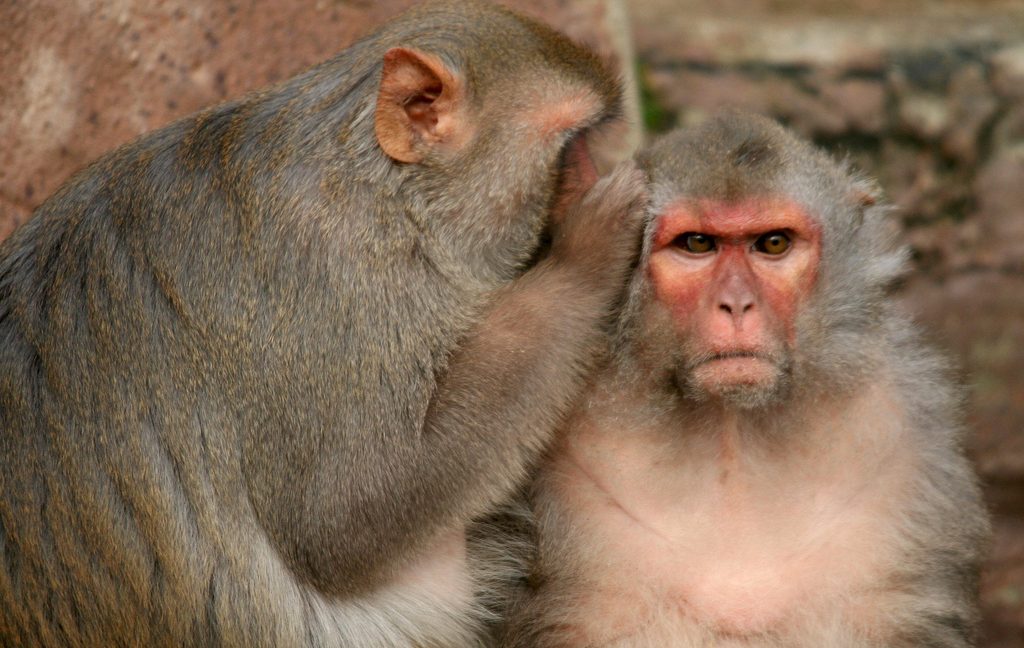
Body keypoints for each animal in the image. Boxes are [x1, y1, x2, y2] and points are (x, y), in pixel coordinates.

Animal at [0, 1, 648, 645]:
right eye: (573, 147)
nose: (594, 176)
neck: (391, 195)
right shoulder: (334, 285)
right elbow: (345, 517)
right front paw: (587, 256)